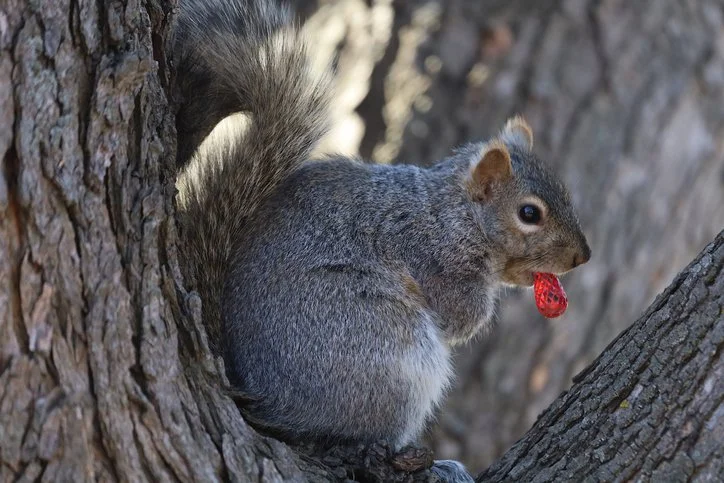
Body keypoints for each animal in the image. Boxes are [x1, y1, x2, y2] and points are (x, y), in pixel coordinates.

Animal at [171, 0, 591, 481]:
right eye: (529, 214)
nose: (582, 256)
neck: (451, 213)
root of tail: (266, 400)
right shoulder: (434, 259)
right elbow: (460, 318)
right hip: (386, 358)